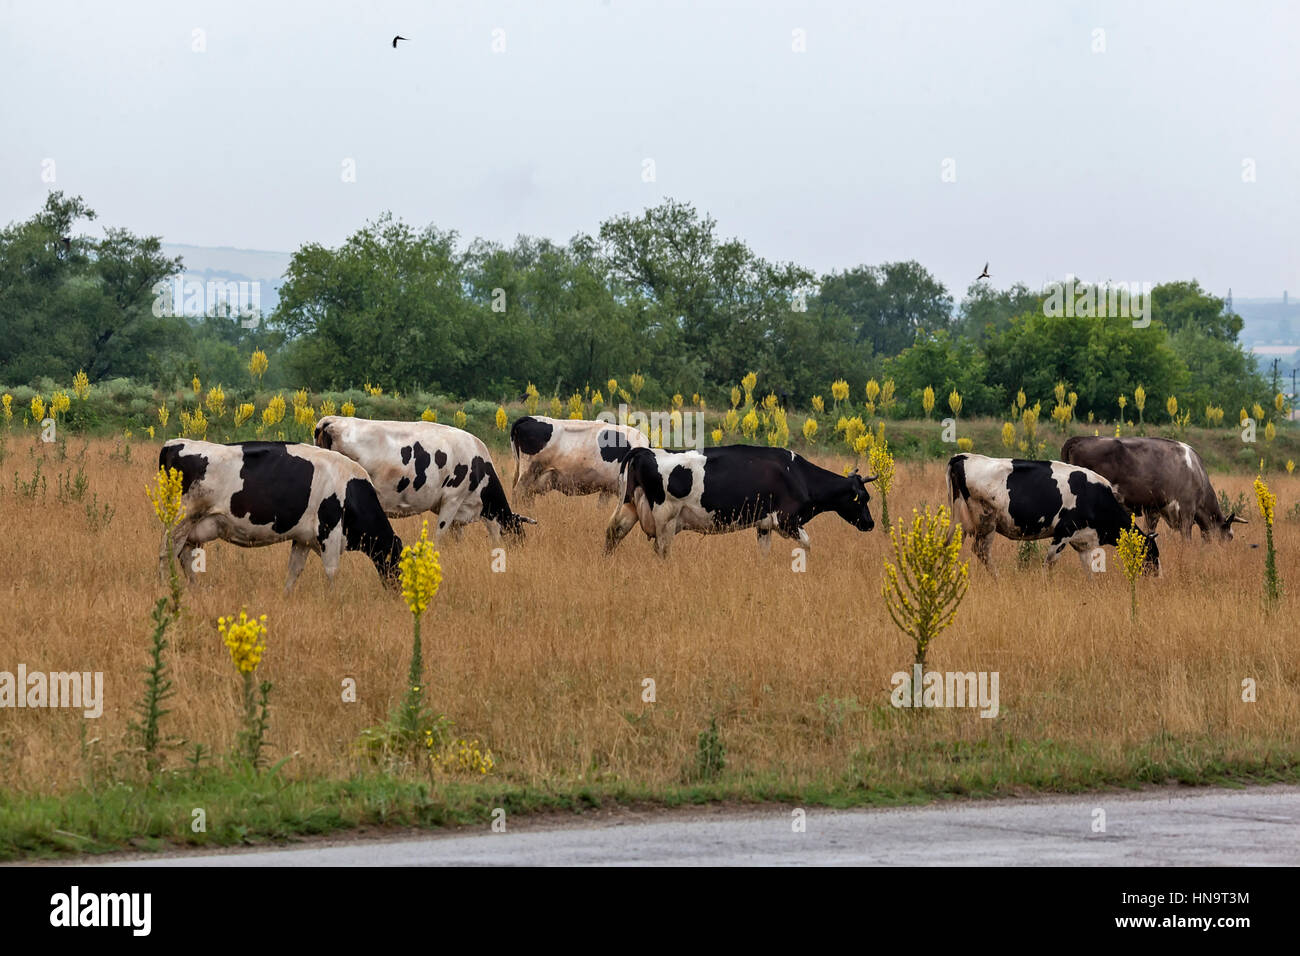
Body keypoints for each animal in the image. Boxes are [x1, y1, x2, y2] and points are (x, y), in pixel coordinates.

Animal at [157, 440, 402, 593]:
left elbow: (295, 569)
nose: (397, 595)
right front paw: (334, 599)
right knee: (167, 553)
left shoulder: (304, 539)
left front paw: (287, 595)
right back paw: (165, 589)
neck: (351, 489)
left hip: (192, 526)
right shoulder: (329, 531)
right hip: (181, 519)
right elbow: (332, 571)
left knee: (185, 557)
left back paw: (194, 589)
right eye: (399, 562)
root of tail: (174, 444)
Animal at [605, 444, 877, 559]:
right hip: (666, 516)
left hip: (631, 505)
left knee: (613, 532)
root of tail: (646, 450)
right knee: (661, 549)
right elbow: (807, 544)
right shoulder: (787, 521)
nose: (870, 523)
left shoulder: (764, 525)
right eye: (863, 498)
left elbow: (764, 552)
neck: (799, 475)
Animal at [946, 453, 1160, 574]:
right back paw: (997, 579)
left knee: (950, 545)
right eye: (1152, 554)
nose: (1157, 576)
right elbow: (1050, 562)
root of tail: (963, 456)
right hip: (986, 521)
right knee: (981, 551)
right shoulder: (1064, 531)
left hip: (959, 520)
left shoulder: (1084, 540)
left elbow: (1089, 569)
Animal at [1060, 435, 1246, 541]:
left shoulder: (1154, 508)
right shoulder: (1187, 509)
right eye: (1229, 537)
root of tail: (1080, 439)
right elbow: (1186, 538)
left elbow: (1151, 530)